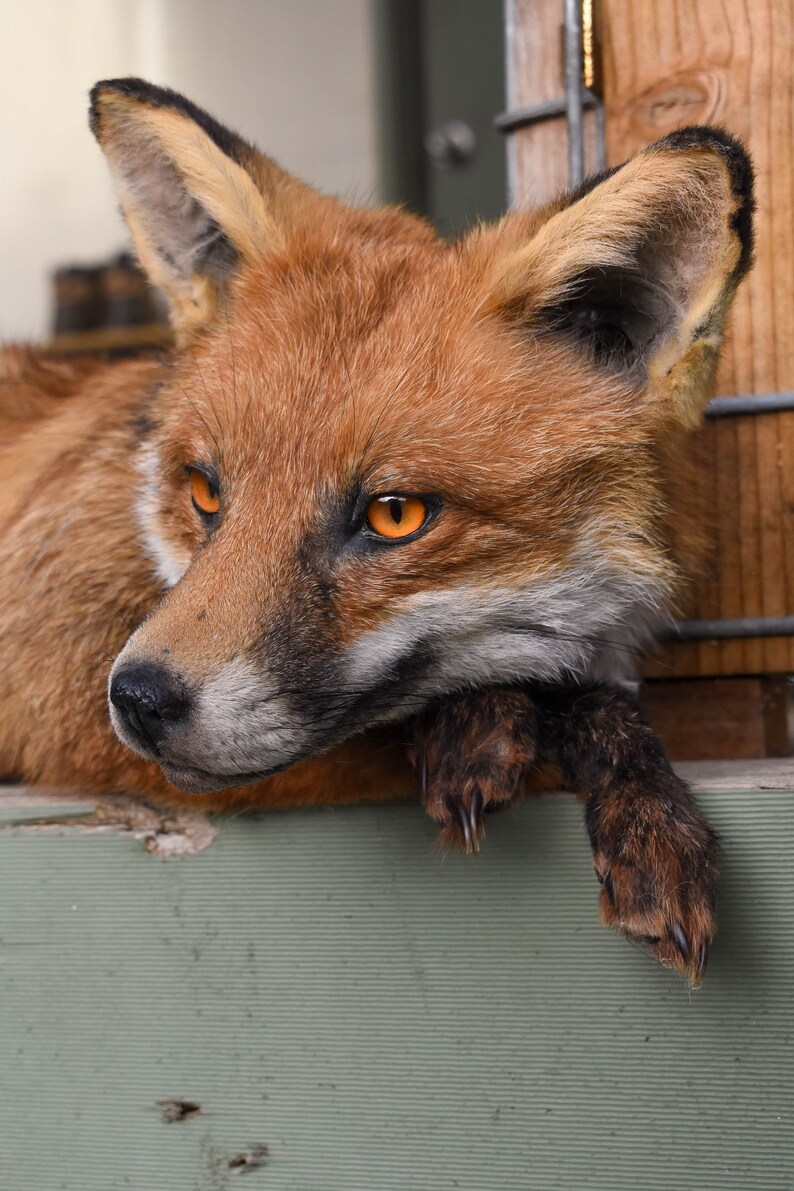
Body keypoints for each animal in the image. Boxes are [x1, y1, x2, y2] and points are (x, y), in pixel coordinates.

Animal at [0, 79, 754, 986]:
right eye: (206, 493)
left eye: (396, 515)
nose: (140, 700)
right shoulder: (53, 690)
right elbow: (517, 710)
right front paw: (487, 725)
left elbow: (596, 698)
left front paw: (642, 801)